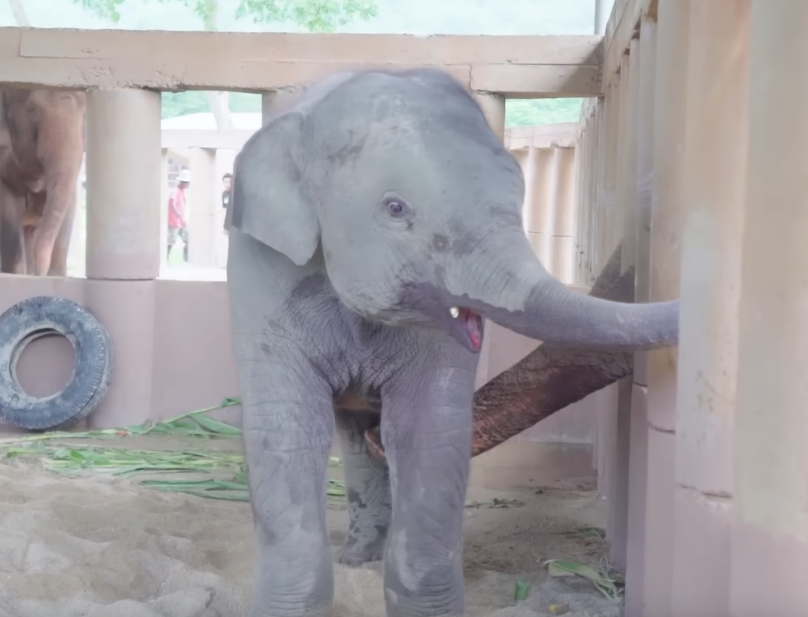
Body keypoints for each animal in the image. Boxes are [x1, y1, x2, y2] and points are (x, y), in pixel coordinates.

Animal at [0, 88, 86, 276]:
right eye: (32, 109)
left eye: (84, 112)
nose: (42, 273)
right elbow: (8, 209)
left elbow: (69, 208)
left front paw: (56, 276)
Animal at [226, 67, 679, 617]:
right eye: (395, 208)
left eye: (519, 194)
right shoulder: (261, 271)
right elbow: (284, 426)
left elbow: (429, 430)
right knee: (351, 434)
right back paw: (358, 557)